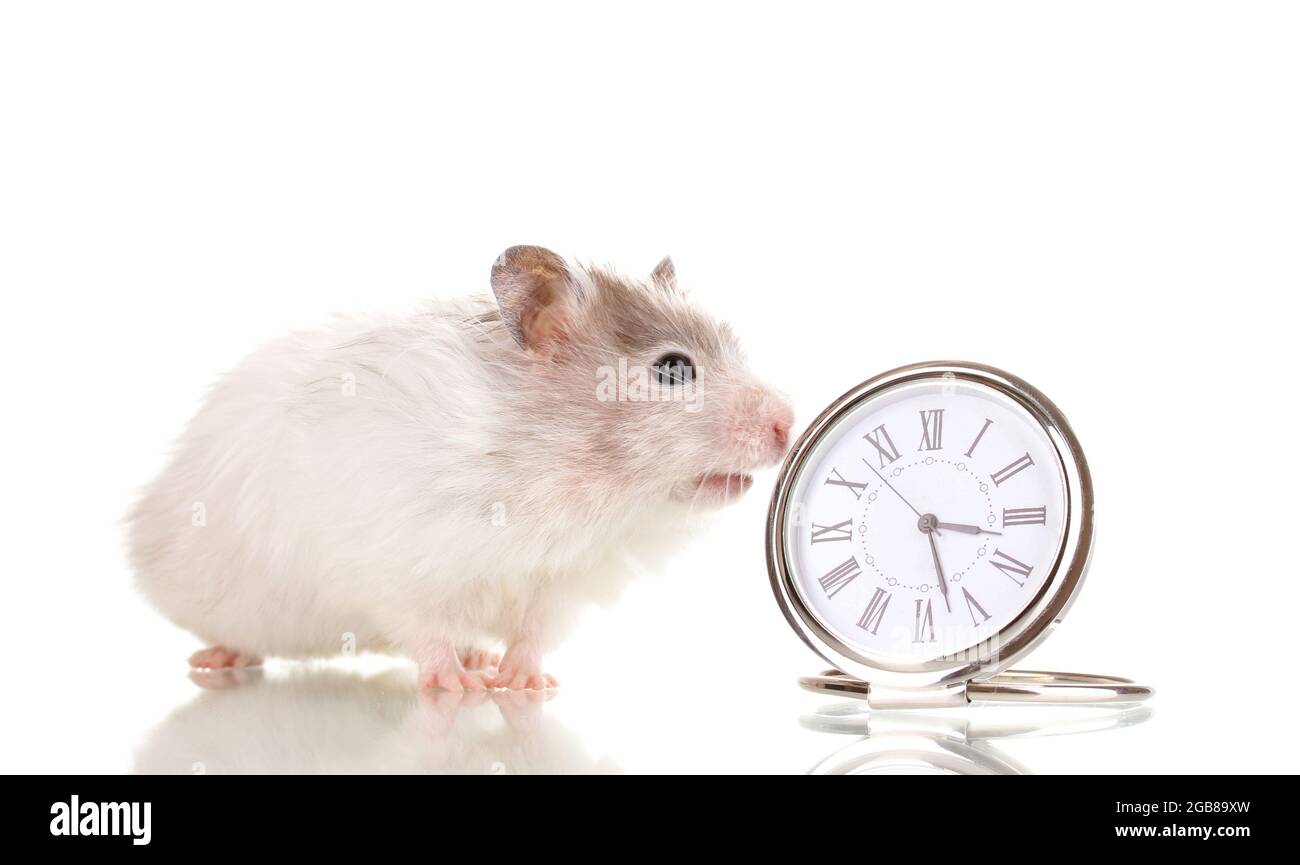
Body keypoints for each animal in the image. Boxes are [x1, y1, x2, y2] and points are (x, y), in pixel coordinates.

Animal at [127, 246, 793, 690]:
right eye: (674, 369)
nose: (788, 425)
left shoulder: (562, 583)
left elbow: (532, 634)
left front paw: (521, 684)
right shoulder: (391, 564)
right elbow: (424, 630)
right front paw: (460, 687)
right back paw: (218, 660)